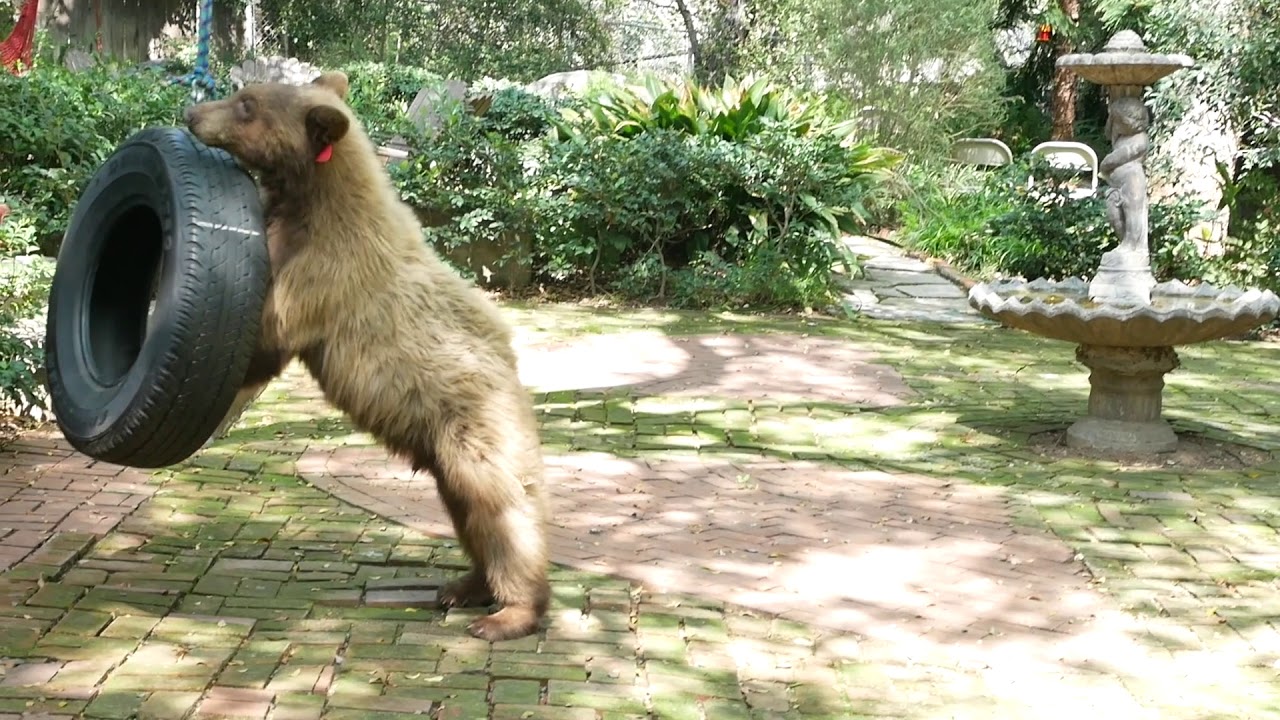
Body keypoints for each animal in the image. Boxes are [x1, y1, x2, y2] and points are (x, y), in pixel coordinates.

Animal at [184, 71, 551, 642]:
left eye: (247, 105)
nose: (192, 114)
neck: (310, 200)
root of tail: (516, 376)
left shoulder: (321, 273)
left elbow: (267, 334)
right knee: (470, 514)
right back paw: (464, 585)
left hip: (476, 431)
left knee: (503, 508)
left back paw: (508, 613)